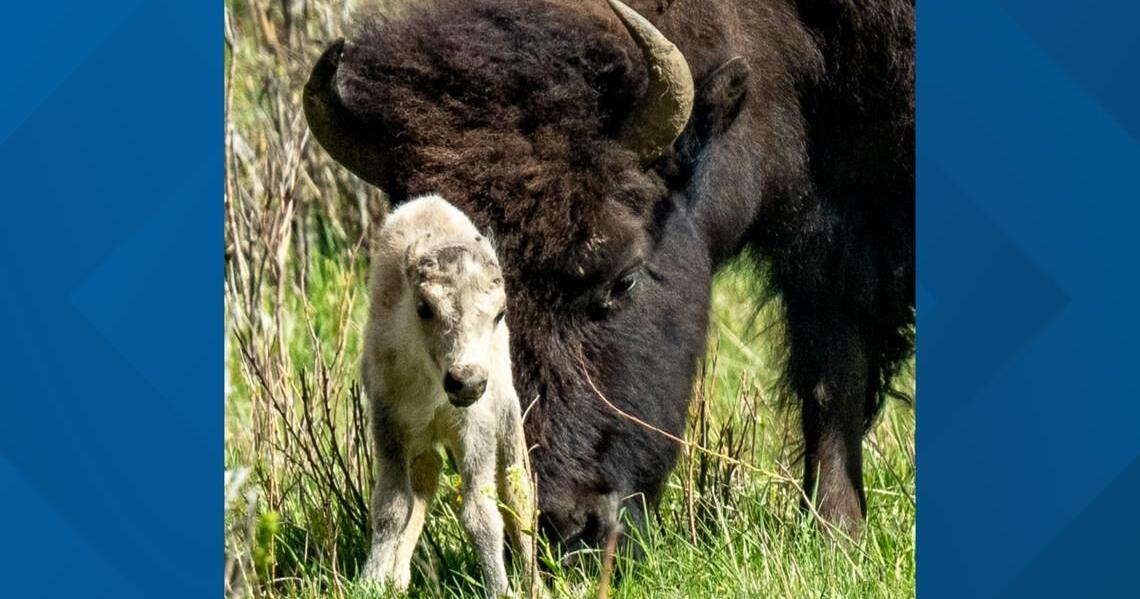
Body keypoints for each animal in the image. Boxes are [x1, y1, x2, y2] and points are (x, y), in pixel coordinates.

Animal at [304, 0, 914, 551]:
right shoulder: (828, 245)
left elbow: (836, 384)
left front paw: (836, 537)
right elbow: (830, 379)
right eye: (424, 305)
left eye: (625, 279)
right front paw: (839, 536)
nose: (564, 526)